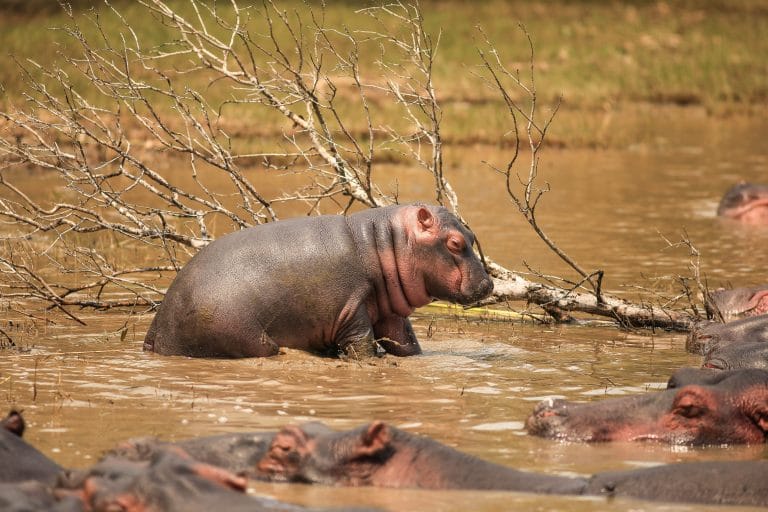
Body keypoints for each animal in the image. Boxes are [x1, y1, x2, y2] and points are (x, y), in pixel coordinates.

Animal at [144, 204, 493, 358]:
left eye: (473, 235)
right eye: (455, 243)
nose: (488, 285)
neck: (384, 242)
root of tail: (159, 327)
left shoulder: (390, 312)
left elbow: (405, 342)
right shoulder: (351, 305)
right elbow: (362, 343)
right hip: (243, 334)